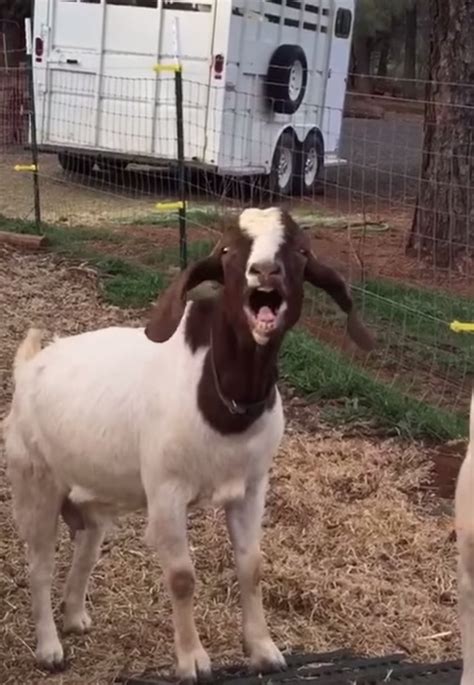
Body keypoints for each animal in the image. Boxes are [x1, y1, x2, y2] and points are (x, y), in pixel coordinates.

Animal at [3, 207, 374, 679]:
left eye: (302, 251)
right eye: (227, 251)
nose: (264, 270)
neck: (225, 403)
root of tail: (30, 366)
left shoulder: (252, 487)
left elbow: (251, 565)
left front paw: (264, 649)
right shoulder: (166, 491)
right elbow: (181, 576)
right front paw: (192, 660)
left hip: (91, 491)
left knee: (87, 545)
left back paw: (75, 616)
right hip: (35, 481)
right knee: (39, 563)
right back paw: (50, 648)